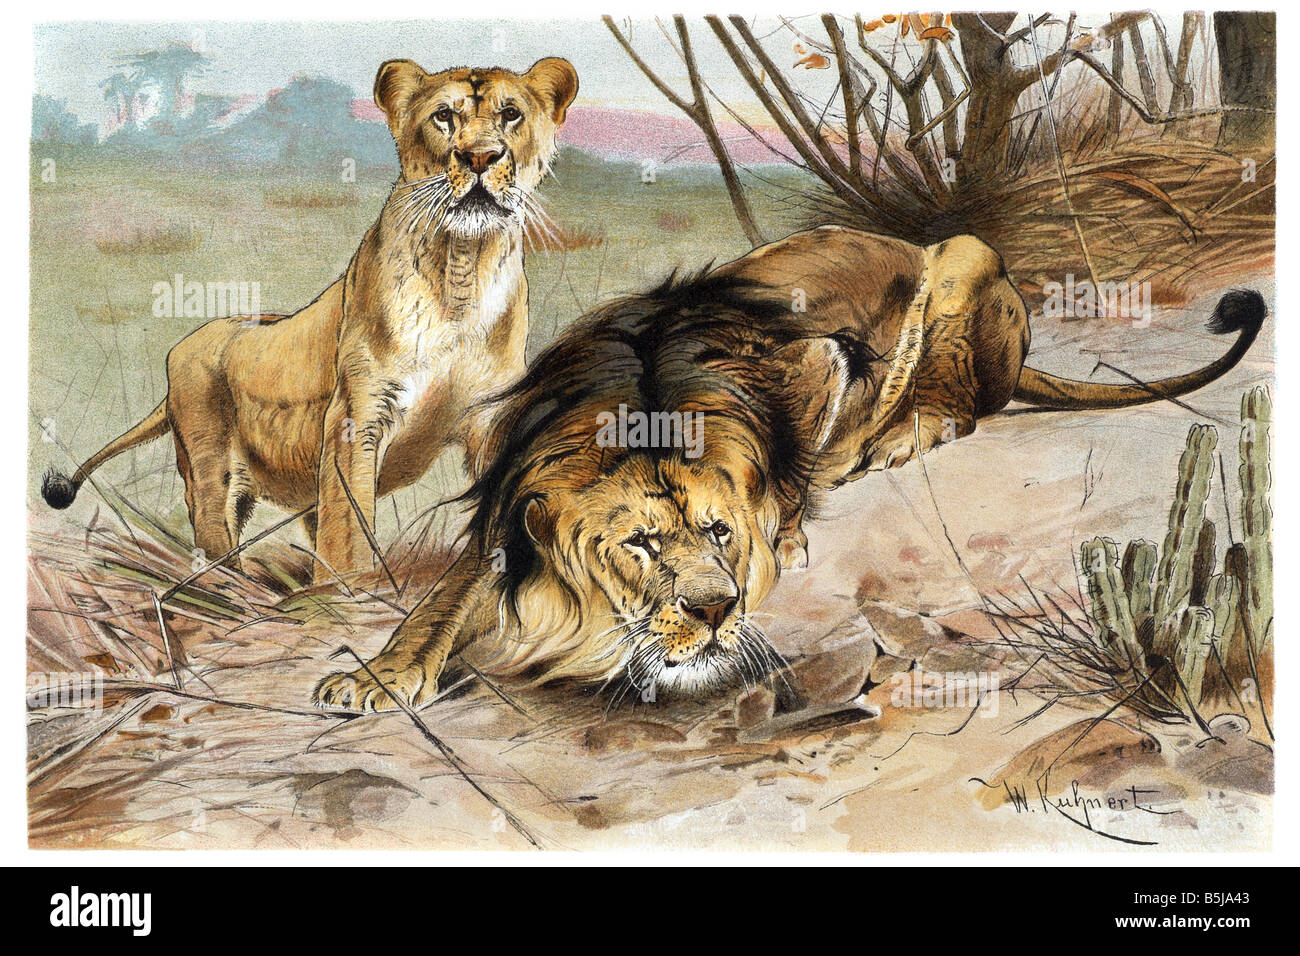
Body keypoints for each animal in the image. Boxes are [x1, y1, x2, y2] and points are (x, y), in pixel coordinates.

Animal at [42, 57, 579, 583]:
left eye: (511, 115)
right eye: (444, 116)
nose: (481, 157)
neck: (462, 271)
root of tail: (183, 346)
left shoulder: (490, 420)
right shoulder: (356, 413)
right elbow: (351, 532)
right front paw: (352, 596)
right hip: (210, 464)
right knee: (214, 536)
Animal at [312, 226, 1266, 710]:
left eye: (719, 534)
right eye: (641, 545)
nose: (714, 609)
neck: (648, 388)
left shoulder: (821, 361)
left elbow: (808, 450)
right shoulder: (508, 501)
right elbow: (439, 608)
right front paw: (376, 675)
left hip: (961, 261)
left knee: (958, 404)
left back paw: (900, 437)